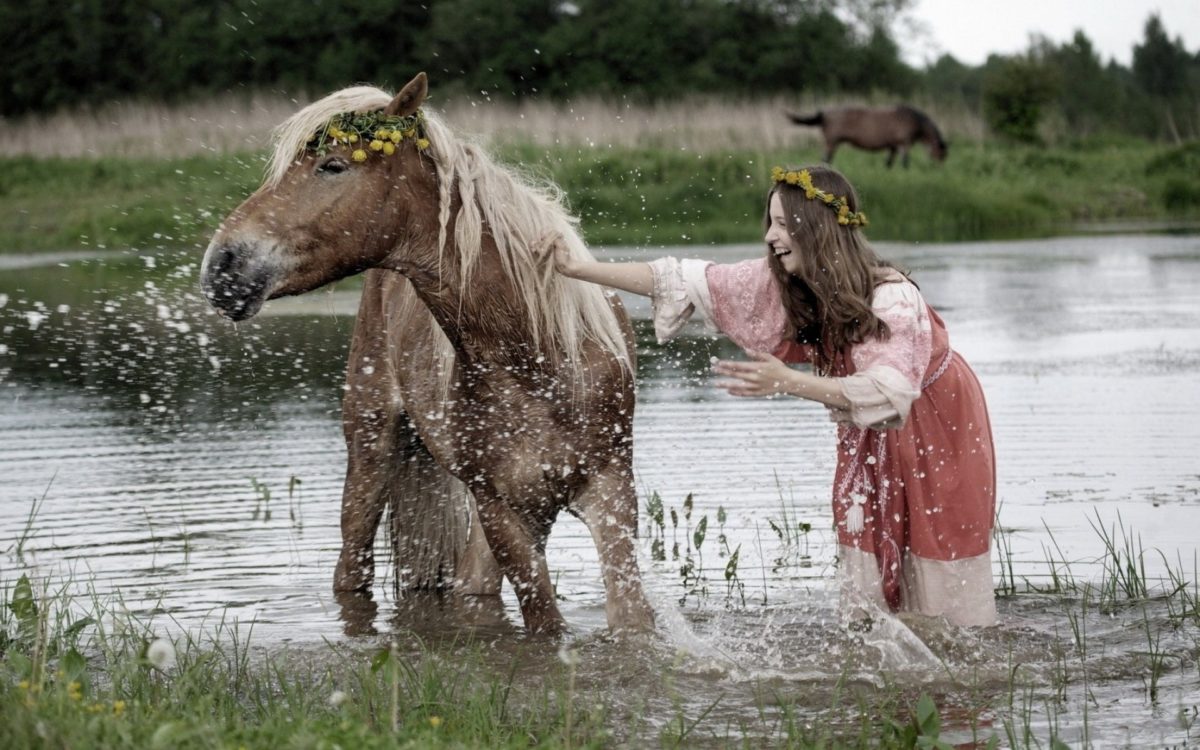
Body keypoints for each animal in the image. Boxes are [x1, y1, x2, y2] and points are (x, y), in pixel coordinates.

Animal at [200, 73, 654, 636]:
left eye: (333, 165)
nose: (221, 265)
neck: (539, 356)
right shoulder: (504, 512)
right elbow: (546, 622)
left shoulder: (610, 494)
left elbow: (630, 621)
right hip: (372, 452)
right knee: (353, 569)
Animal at [786, 105, 947, 168]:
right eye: (941, 154)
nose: (938, 167)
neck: (912, 119)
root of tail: (824, 114)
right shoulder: (903, 145)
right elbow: (905, 163)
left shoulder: (893, 147)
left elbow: (888, 163)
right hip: (831, 143)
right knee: (825, 159)